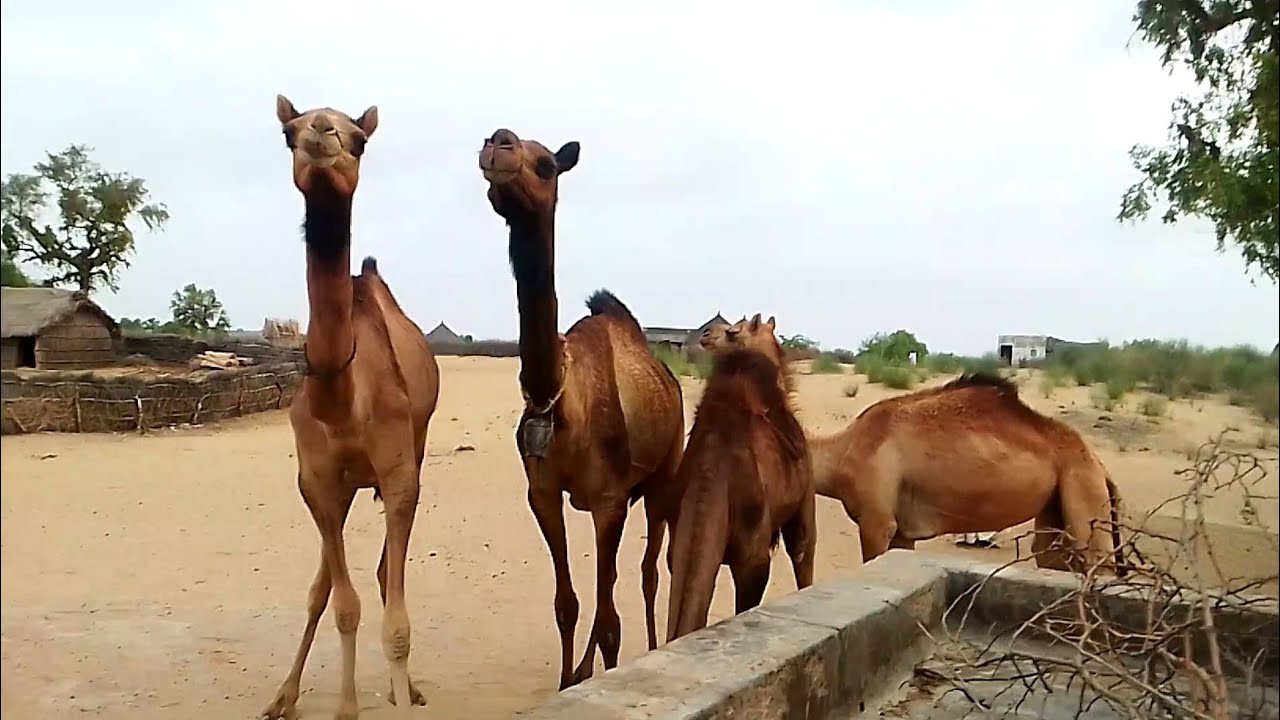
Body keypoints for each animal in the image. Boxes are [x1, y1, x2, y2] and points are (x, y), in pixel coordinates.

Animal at [263, 96, 440, 720]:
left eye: (359, 139)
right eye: (287, 132)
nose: (320, 132)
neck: (341, 398)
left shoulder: (400, 472)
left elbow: (396, 620)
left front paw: (400, 693)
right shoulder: (314, 479)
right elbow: (338, 603)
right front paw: (340, 707)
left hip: (409, 452)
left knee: (388, 575)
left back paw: (408, 687)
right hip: (340, 490)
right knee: (327, 588)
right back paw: (285, 695)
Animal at [477, 129, 686, 688]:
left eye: (547, 164)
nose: (498, 143)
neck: (558, 399)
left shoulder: (611, 498)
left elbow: (610, 617)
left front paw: (599, 673)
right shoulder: (544, 493)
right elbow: (567, 604)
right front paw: (569, 679)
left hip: (662, 477)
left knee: (649, 571)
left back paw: (656, 644)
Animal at [707, 326, 1124, 575]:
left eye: (734, 330)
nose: (705, 334)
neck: (842, 450)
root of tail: (1100, 466)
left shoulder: (877, 521)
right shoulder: (903, 532)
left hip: (1085, 493)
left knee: (1096, 562)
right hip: (1055, 510)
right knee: (1053, 557)